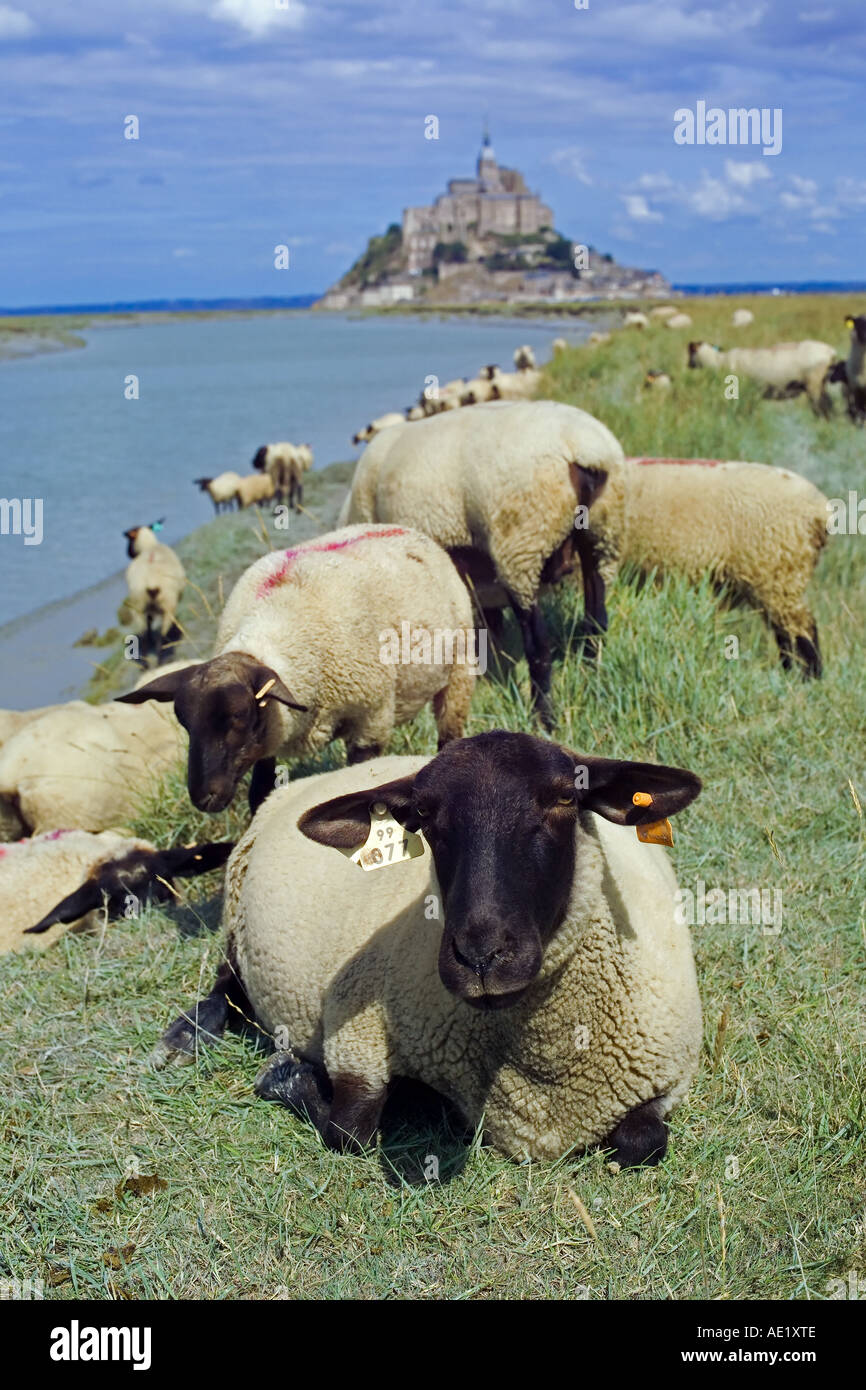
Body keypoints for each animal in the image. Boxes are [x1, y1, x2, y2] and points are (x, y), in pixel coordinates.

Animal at [120, 523, 186, 667]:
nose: (128, 553)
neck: (149, 546)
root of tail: (151, 581)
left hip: (138, 607)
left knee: (142, 637)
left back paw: (146, 663)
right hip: (167, 605)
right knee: (162, 636)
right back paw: (162, 660)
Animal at [155, 731, 703, 1166]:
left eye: (567, 797)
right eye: (421, 813)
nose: (481, 958)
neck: (542, 1077)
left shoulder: (667, 1077)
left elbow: (642, 1141)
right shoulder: (356, 1038)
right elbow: (348, 1131)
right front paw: (286, 1074)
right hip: (237, 914)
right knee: (226, 980)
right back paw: (186, 1035)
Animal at [341, 400, 627, 725]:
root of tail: (583, 446)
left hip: (521, 544)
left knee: (538, 644)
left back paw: (543, 716)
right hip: (603, 534)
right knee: (596, 618)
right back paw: (594, 676)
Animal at [687, 338, 837, 415]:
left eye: (690, 352)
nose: (688, 365)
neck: (718, 361)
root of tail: (830, 352)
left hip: (814, 385)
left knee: (822, 408)